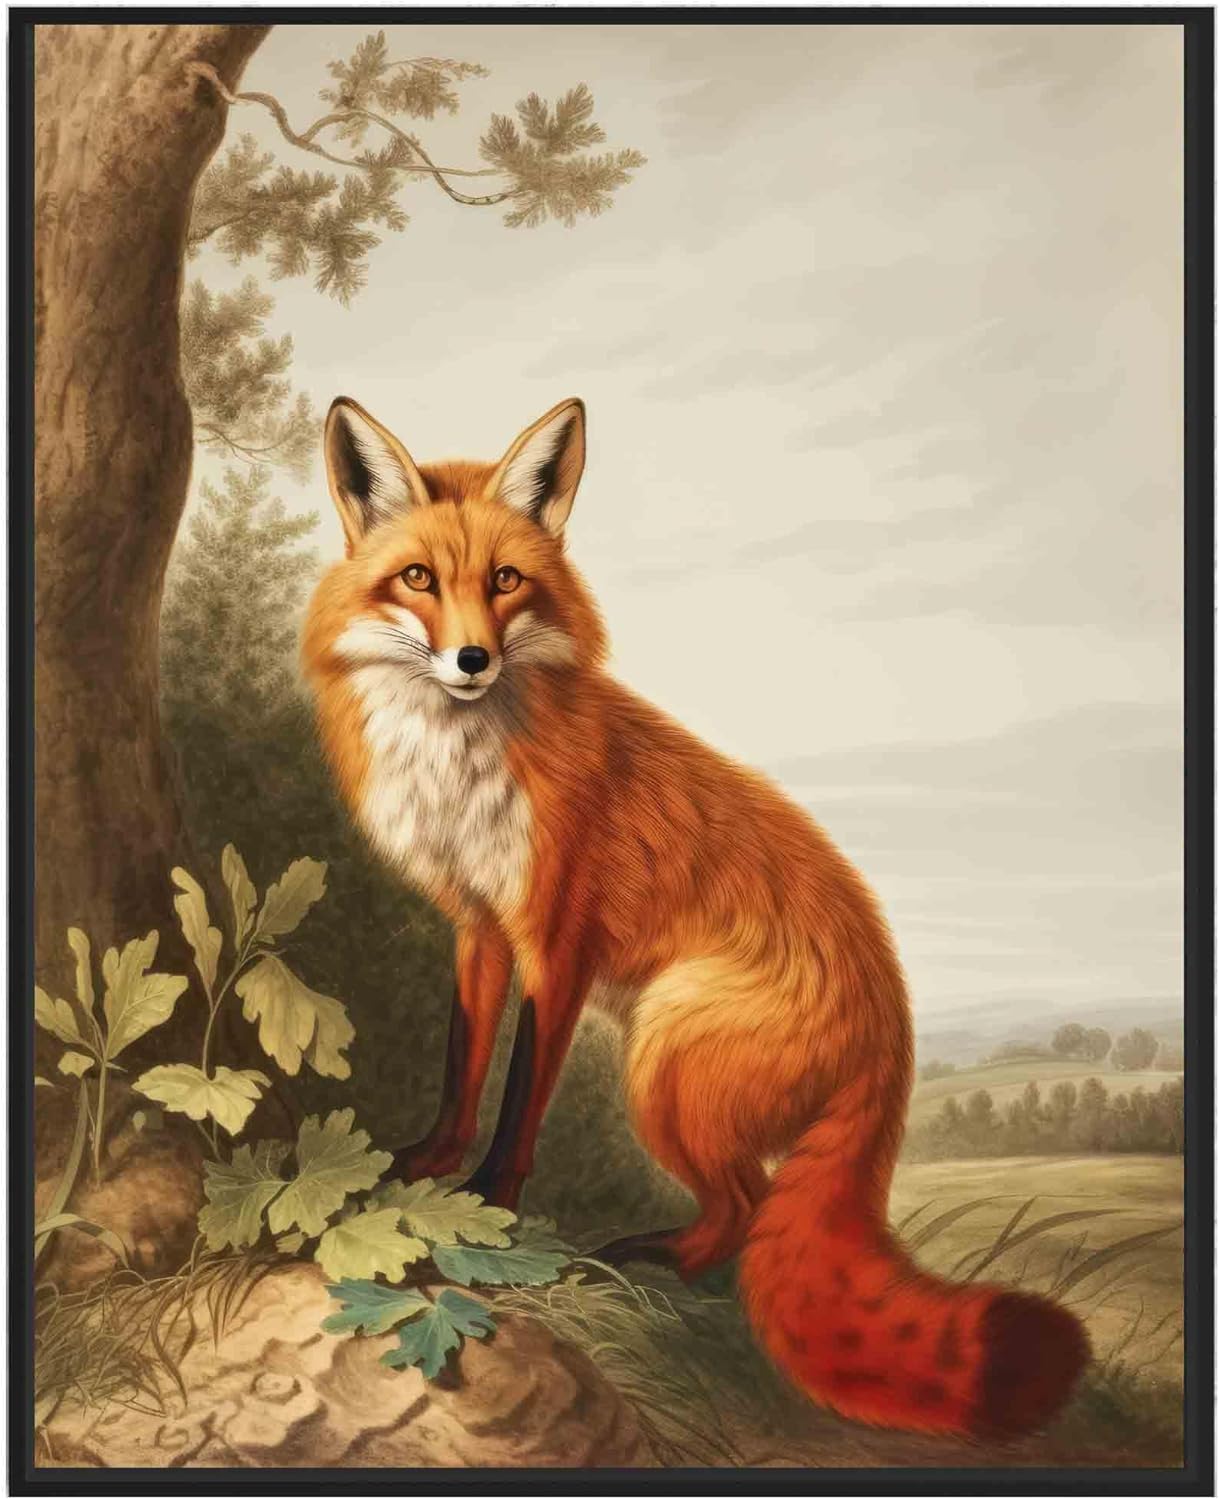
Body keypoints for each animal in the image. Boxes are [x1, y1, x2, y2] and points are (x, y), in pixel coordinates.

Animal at [302, 394, 1089, 1439]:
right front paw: (427, 1167)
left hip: (661, 1061)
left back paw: (649, 1261)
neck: (459, 764)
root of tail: (897, 1024)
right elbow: (462, 1066)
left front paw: (490, 1208)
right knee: (746, 1209)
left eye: (506, 581)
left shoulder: (556, 942)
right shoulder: (478, 927)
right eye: (419, 579)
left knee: (748, 1211)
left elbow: (519, 1101)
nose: (471, 658)